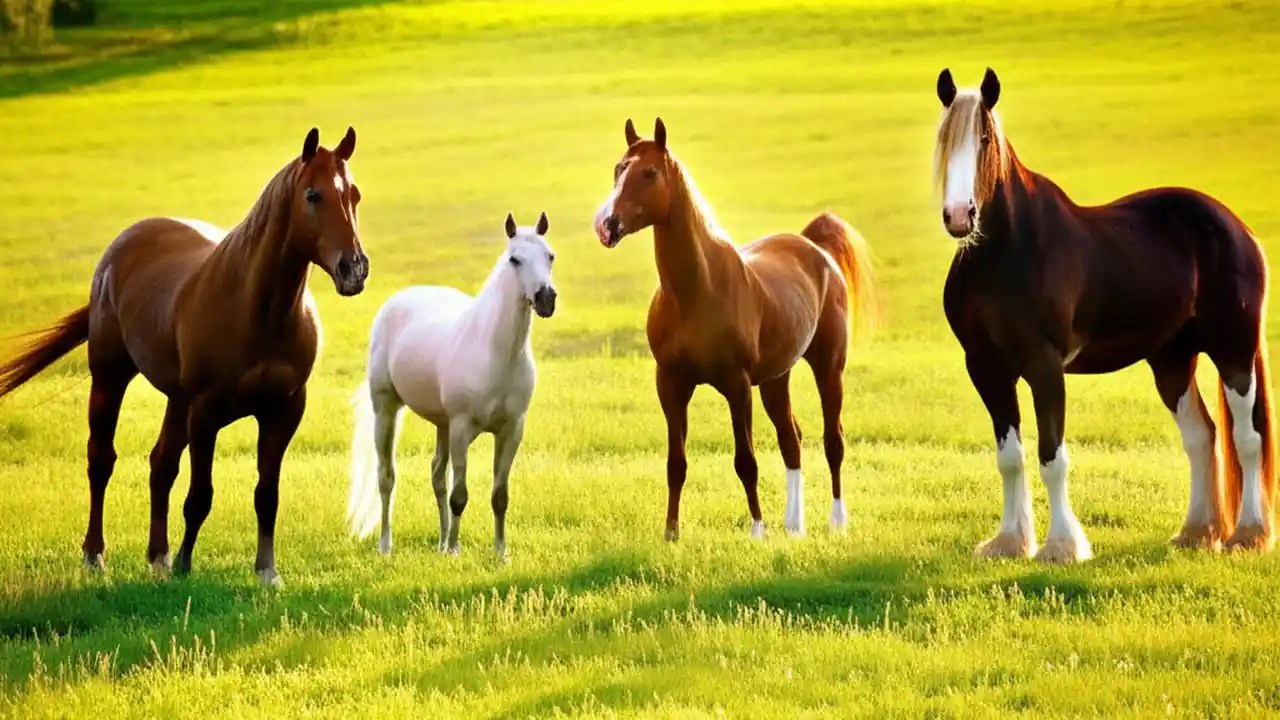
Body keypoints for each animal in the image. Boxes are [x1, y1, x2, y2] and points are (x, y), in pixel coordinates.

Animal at [0, 128, 369, 586]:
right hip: (110, 377)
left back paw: (156, 555)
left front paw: (266, 571)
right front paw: (183, 565)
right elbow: (200, 495)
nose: (355, 268)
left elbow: (266, 494)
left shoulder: (284, 411)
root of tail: (124, 244)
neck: (256, 309)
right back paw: (95, 554)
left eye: (353, 194)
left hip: (177, 400)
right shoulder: (205, 411)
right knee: (101, 459)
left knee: (161, 465)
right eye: (313, 195)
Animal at [347, 213, 556, 561]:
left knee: (436, 475)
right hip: (387, 409)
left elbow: (499, 496)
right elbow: (460, 495)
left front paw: (500, 553)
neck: (494, 353)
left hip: (441, 425)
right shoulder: (461, 427)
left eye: (550, 256)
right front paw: (456, 550)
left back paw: (442, 541)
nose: (546, 299)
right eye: (514, 259)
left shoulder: (511, 430)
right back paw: (386, 544)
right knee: (386, 477)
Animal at [592, 118, 876, 541]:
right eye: (618, 169)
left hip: (829, 368)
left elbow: (746, 461)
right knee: (792, 440)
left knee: (833, 440)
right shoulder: (671, 385)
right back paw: (795, 526)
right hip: (776, 378)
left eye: (650, 172)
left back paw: (836, 522)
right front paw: (671, 533)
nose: (605, 225)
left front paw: (758, 530)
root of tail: (815, 248)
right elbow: (676, 463)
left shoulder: (737, 385)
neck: (695, 291)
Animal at [934, 67, 1275, 562]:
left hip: (1235, 351)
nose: (960, 215)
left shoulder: (1044, 366)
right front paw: (1009, 541)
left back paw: (1248, 534)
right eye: (945, 138)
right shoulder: (986, 367)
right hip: (1172, 360)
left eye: (984, 138)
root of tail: (1236, 227)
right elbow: (1010, 457)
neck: (1002, 254)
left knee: (1248, 439)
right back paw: (1196, 532)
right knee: (1202, 437)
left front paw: (1061, 545)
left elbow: (1052, 457)